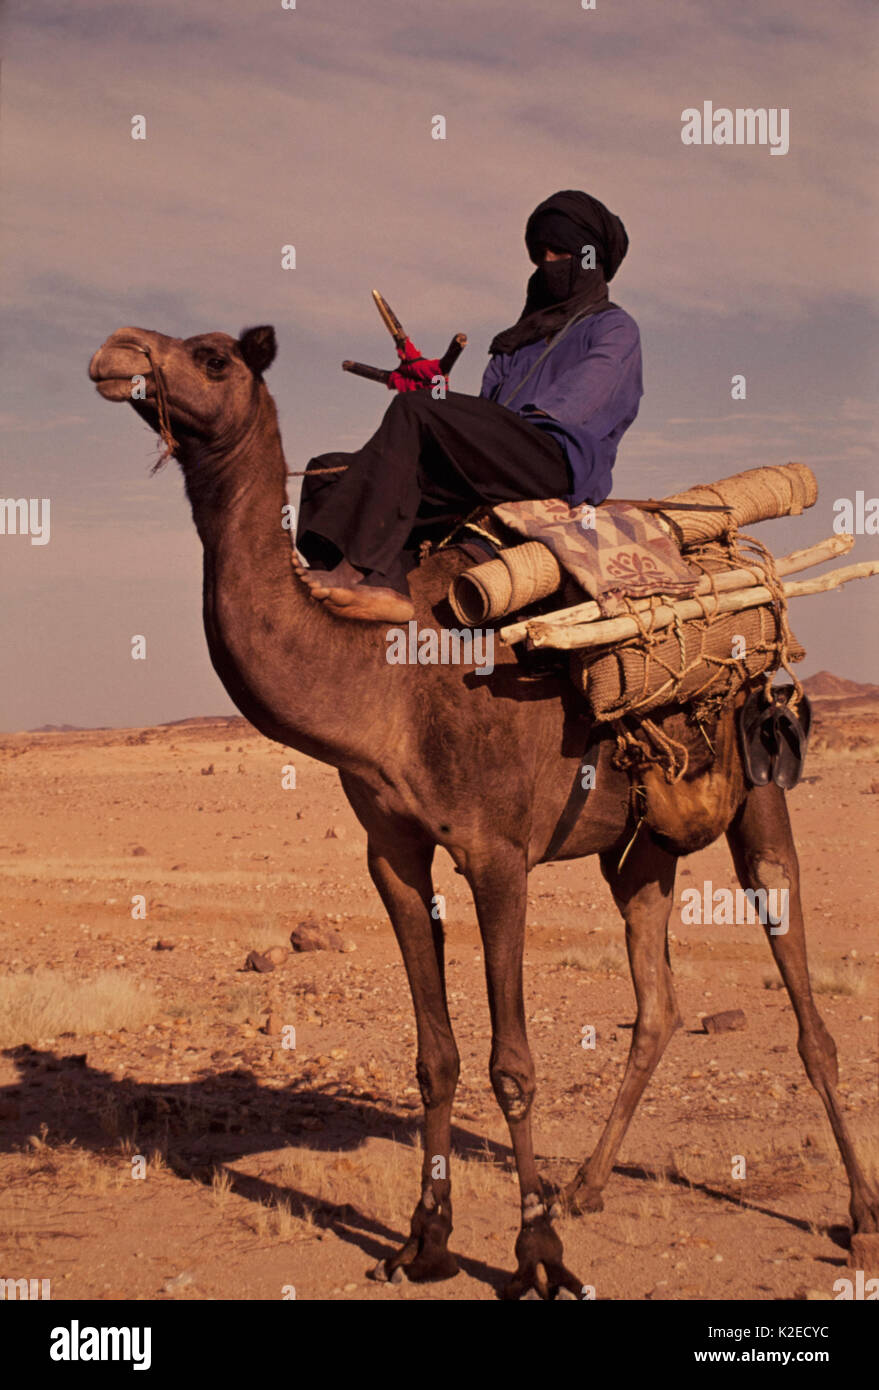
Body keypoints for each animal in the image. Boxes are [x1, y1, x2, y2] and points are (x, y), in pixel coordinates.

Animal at [89, 323, 878, 1298]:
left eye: (211, 357)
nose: (116, 352)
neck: (388, 680)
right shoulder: (391, 852)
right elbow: (435, 1056)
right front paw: (422, 1242)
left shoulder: (497, 852)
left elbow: (513, 1065)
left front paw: (537, 1255)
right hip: (641, 843)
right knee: (655, 1005)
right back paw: (586, 1186)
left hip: (758, 791)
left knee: (807, 1015)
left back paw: (859, 1218)